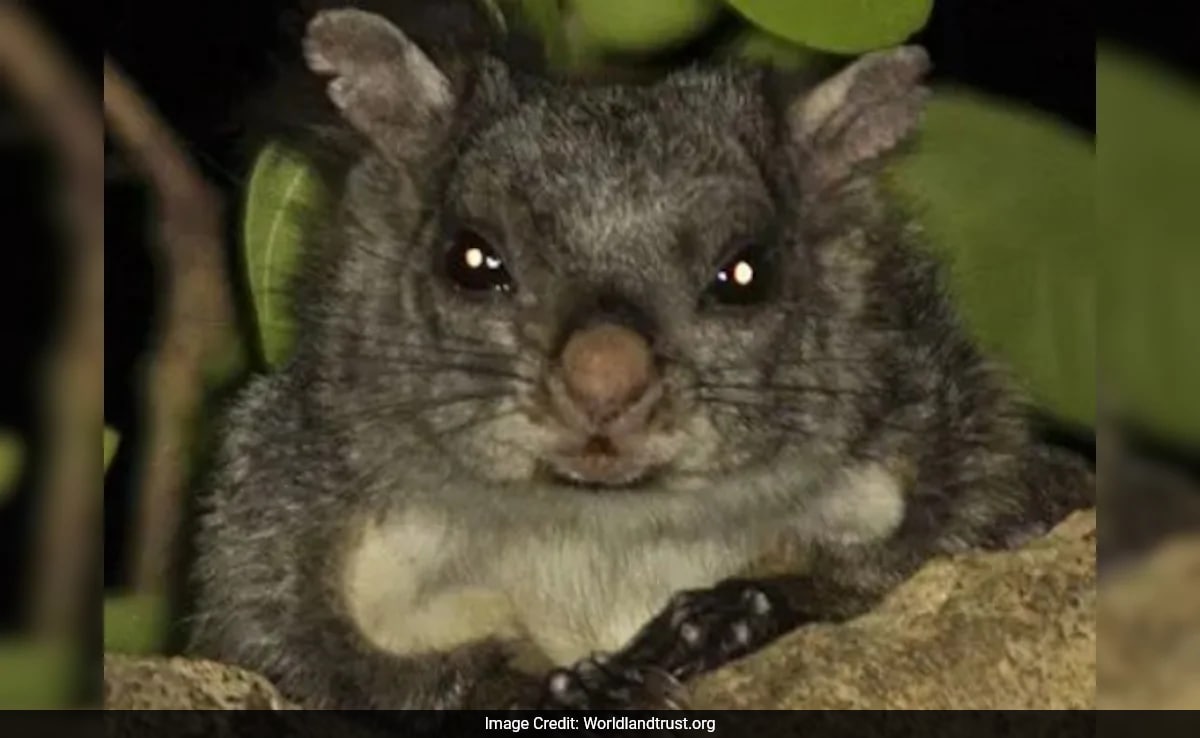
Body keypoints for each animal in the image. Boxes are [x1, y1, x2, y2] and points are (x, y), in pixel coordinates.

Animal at [186, 0, 1095, 713]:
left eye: (745, 274)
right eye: (471, 260)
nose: (604, 378)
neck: (608, 535)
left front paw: (733, 618)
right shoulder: (270, 537)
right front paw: (559, 687)